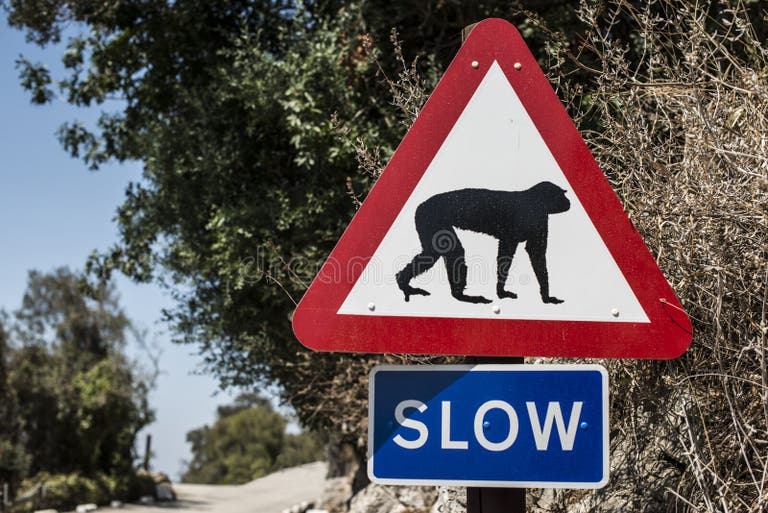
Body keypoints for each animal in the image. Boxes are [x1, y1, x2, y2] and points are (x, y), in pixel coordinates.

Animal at [395, 181, 570, 305]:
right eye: (562, 195)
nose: (568, 201)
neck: (535, 199)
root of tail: (422, 205)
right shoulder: (536, 215)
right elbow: (524, 251)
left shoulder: (539, 219)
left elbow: (526, 252)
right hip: (430, 218)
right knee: (443, 251)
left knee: (442, 252)